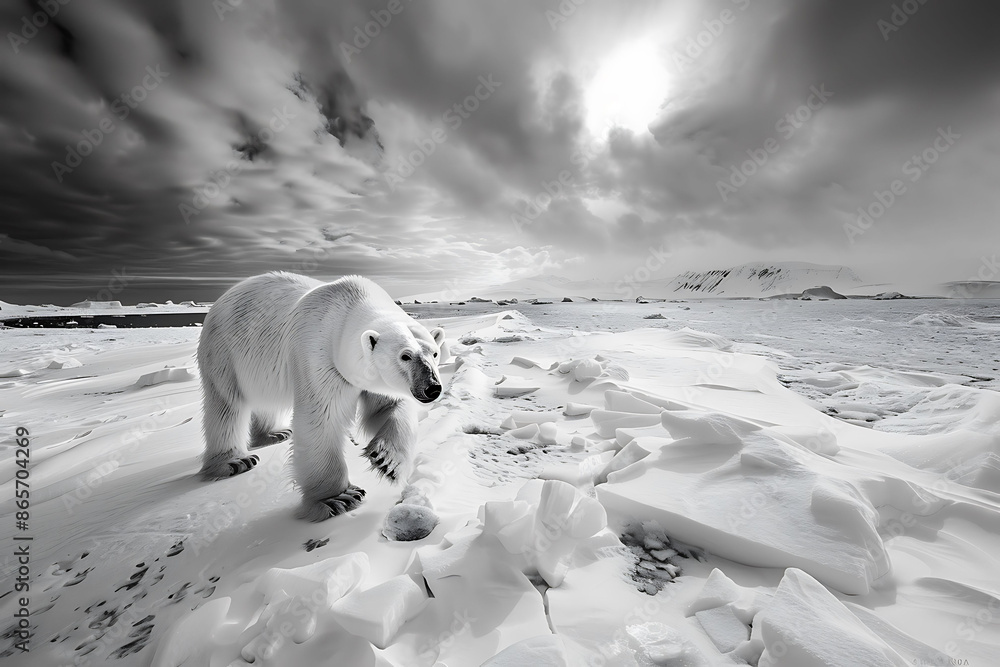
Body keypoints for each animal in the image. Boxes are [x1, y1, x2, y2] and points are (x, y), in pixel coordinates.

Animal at [197, 271, 445, 521]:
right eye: (405, 356)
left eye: (435, 353)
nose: (432, 387)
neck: (346, 309)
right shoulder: (318, 353)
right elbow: (321, 419)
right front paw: (338, 498)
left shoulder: (371, 377)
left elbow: (386, 408)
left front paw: (388, 461)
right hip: (225, 351)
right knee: (226, 406)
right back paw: (235, 460)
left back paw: (274, 434)